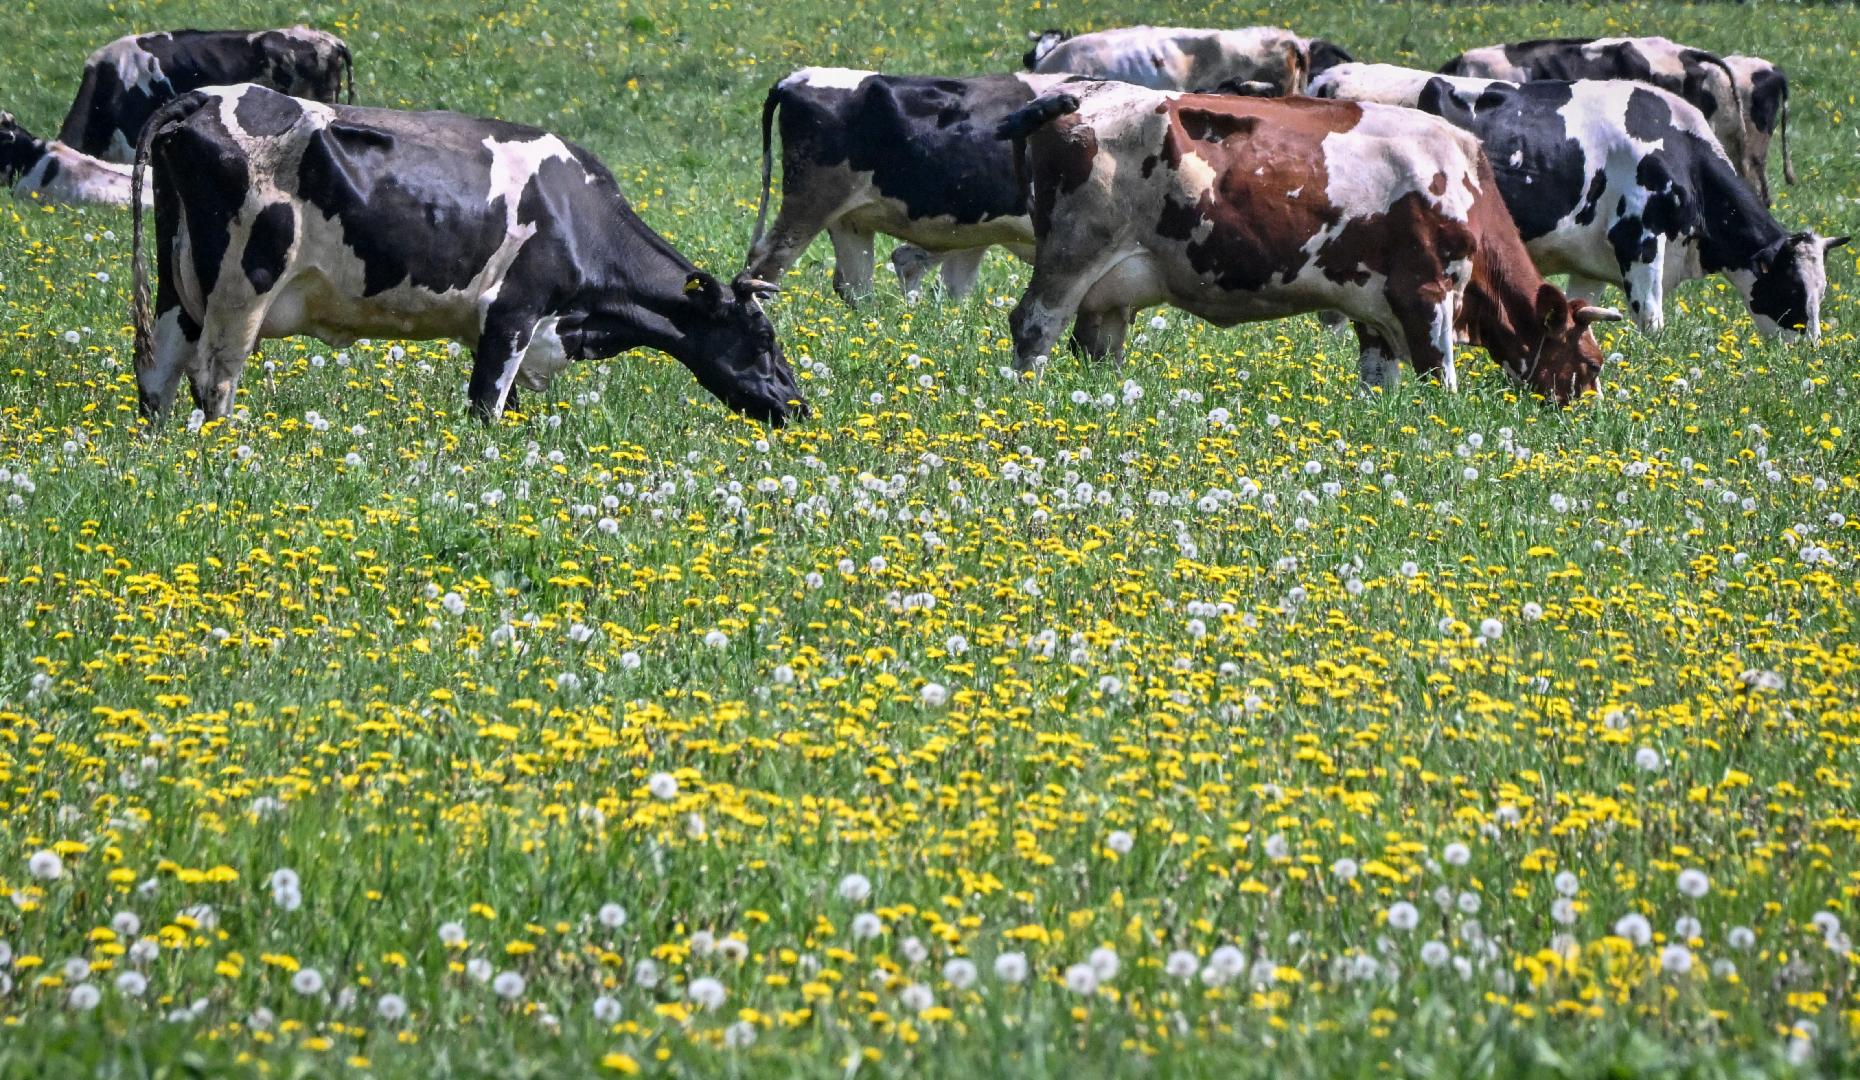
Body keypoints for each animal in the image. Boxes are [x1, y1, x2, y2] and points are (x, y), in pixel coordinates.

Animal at [131, 85, 803, 428]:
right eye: (764, 339)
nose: (798, 404)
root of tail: (202, 97)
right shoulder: (513, 312)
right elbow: (485, 410)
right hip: (243, 286)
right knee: (213, 379)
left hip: (176, 286)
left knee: (158, 372)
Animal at [994, 83, 1621, 404]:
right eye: (1590, 363)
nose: (1587, 419)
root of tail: (1079, 90)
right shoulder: (1424, 291)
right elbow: (1438, 379)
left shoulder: (1374, 301)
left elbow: (1379, 377)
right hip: (1071, 253)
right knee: (1033, 325)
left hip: (1108, 287)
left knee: (1096, 344)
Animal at [1312, 64, 1846, 340]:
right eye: (1793, 289)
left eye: (1822, 291)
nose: (1808, 353)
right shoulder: (1639, 240)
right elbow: (1652, 324)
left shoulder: (1592, 263)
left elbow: (1584, 309)